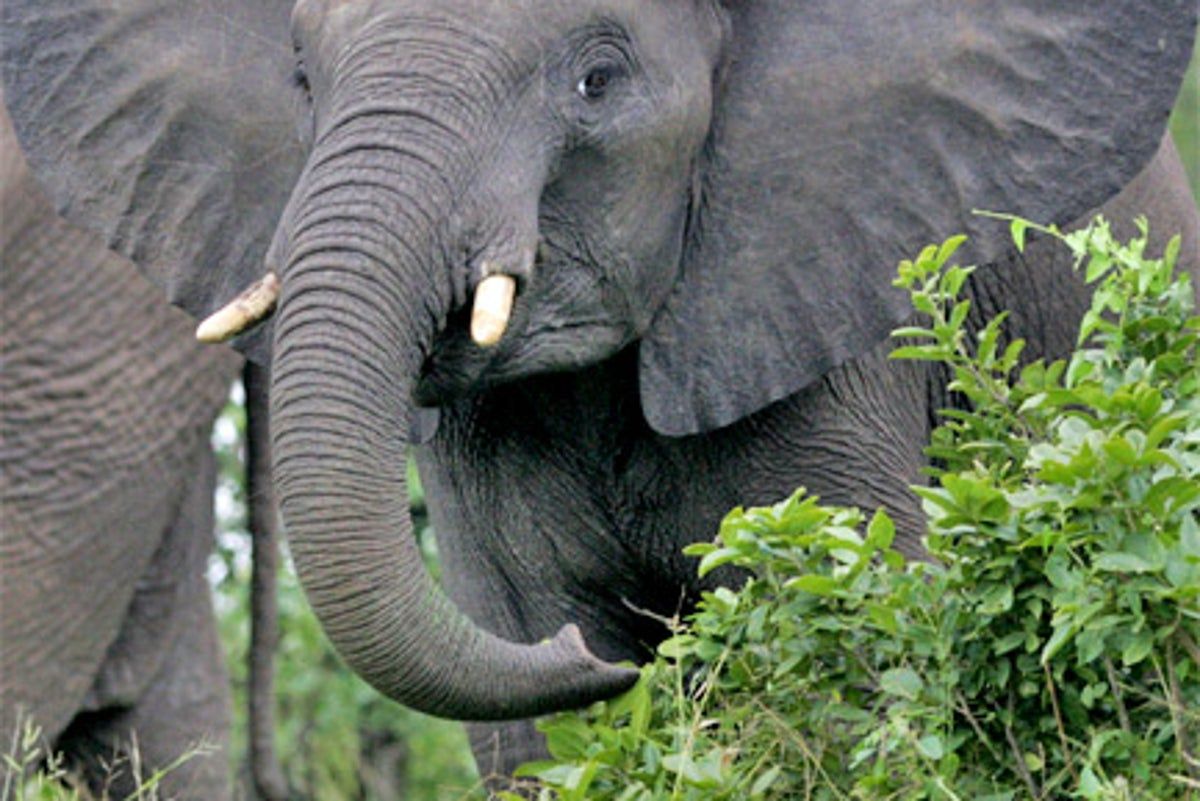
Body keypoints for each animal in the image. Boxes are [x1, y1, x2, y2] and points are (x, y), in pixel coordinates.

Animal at [3, 0, 1198, 787]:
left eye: (597, 80)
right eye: (302, 81)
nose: (602, 660)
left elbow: (860, 649)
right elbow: (526, 694)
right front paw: (572, 649)